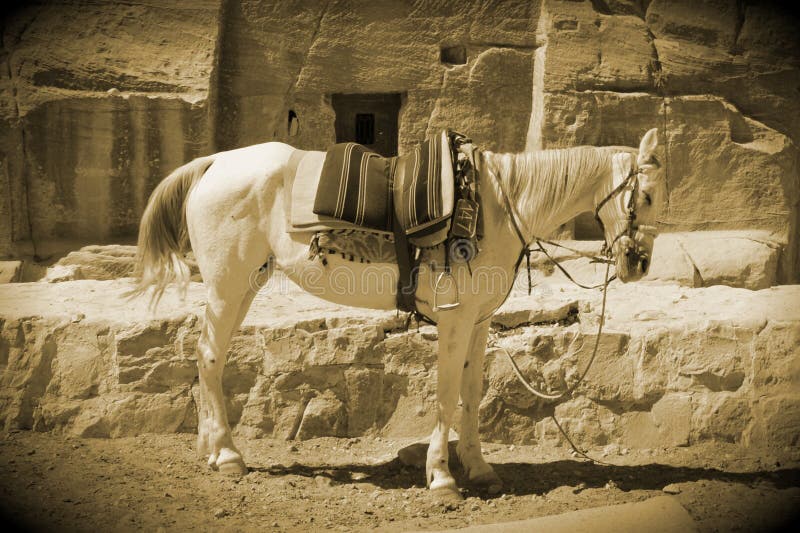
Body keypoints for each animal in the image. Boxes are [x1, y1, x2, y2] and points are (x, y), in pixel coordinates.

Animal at [128, 128, 664, 501]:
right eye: (647, 195)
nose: (639, 264)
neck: (493, 206)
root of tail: (215, 162)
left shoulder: (479, 322)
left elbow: (472, 394)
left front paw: (479, 469)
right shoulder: (454, 319)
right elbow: (446, 395)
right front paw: (443, 478)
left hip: (245, 284)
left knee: (208, 356)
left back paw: (210, 448)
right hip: (228, 283)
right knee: (209, 356)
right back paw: (227, 454)